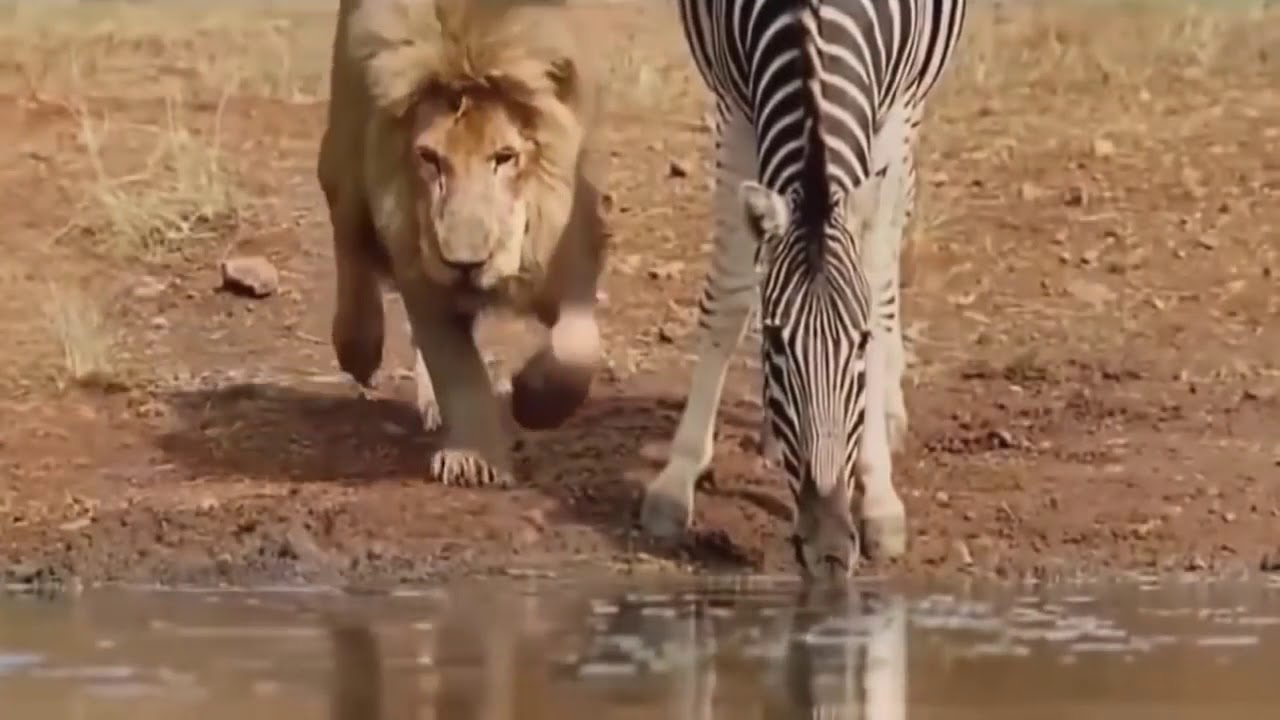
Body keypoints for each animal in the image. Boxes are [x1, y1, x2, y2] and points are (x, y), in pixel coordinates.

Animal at [317, 0, 608, 487]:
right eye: (430, 158)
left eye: (504, 157)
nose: (465, 264)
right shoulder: (421, 271)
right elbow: (457, 367)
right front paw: (474, 457)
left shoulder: (569, 249)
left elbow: (576, 347)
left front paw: (532, 401)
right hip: (345, 158)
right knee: (348, 237)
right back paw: (358, 346)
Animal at [640, 0, 967, 578]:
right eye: (774, 342)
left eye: (860, 343)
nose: (830, 550)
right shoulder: (734, 105)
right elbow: (729, 294)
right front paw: (678, 479)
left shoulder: (896, 107)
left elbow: (877, 284)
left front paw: (879, 495)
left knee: (897, 223)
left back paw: (890, 408)